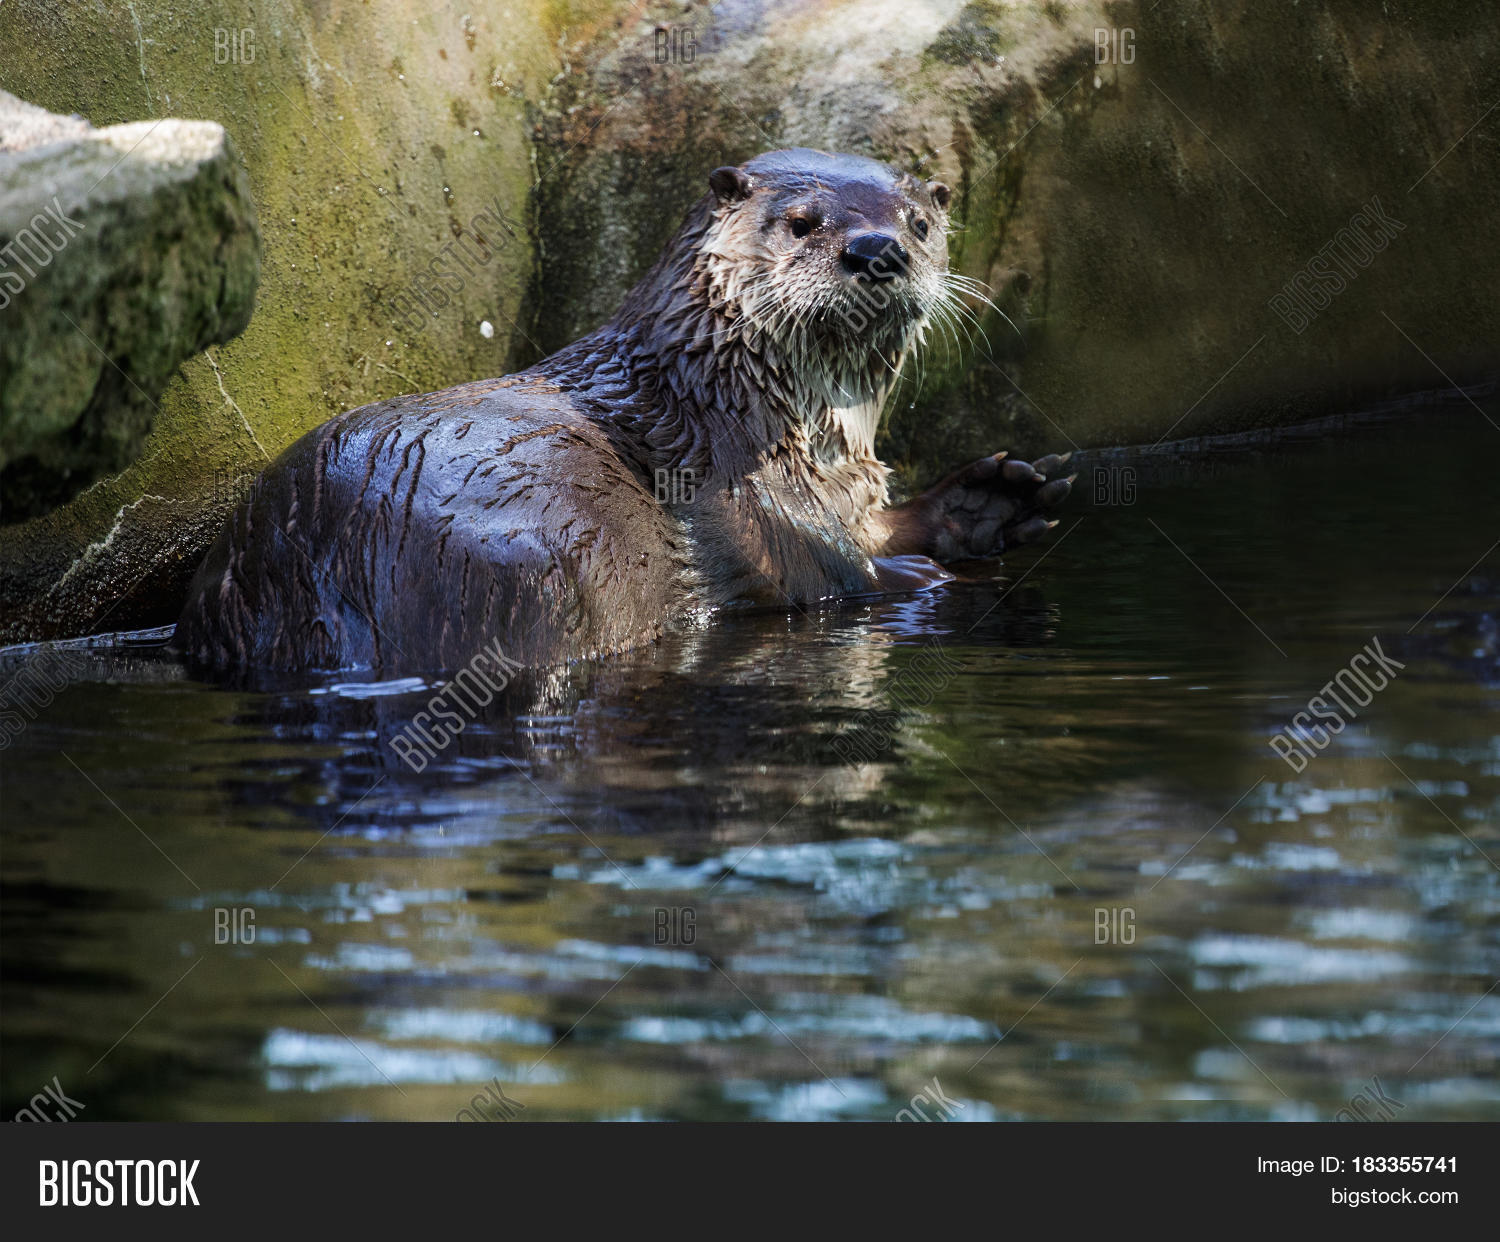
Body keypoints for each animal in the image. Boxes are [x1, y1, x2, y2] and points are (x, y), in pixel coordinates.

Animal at [176, 149, 1071, 673]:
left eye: (919, 223)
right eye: (802, 222)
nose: (878, 248)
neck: (726, 396)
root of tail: (307, 576)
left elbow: (871, 523)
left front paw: (984, 503)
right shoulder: (740, 483)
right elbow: (817, 568)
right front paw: (923, 575)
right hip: (531, 565)